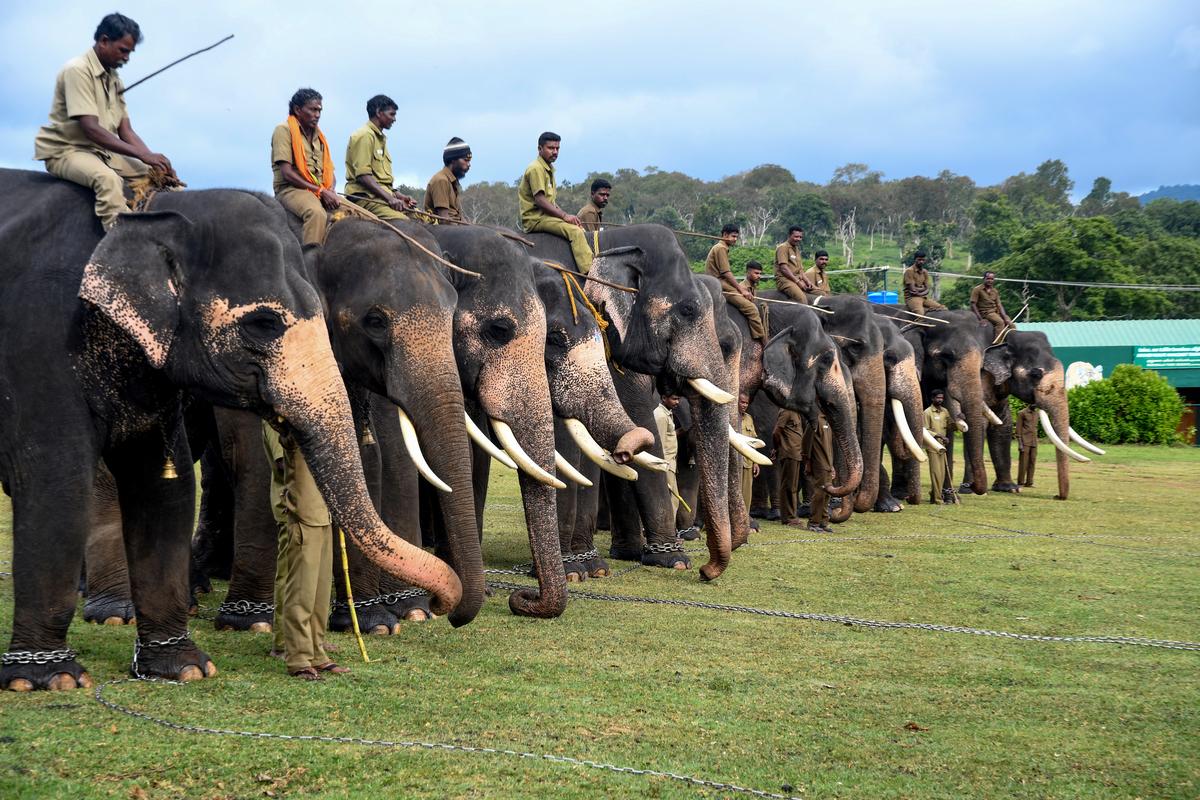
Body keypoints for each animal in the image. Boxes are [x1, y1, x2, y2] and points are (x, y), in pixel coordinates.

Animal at [0, 171, 461, 691]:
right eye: (376, 320)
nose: (447, 609)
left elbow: (369, 456)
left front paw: (379, 622)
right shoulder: (42, 338)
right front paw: (250, 622)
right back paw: (118, 611)